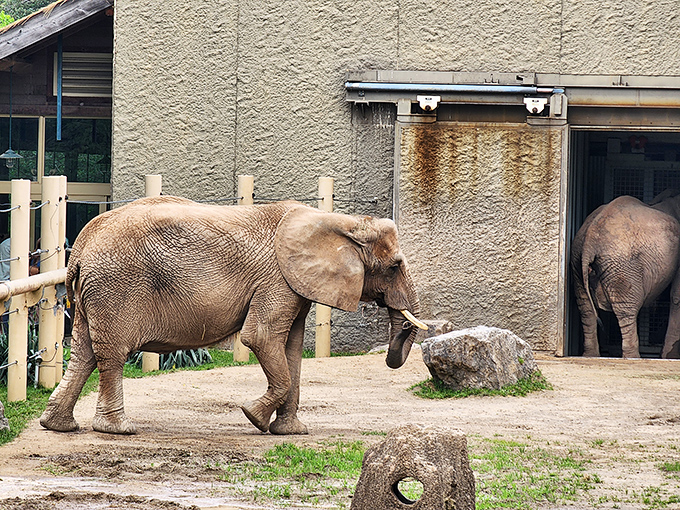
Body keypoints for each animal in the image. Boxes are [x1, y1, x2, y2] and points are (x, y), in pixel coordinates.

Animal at [39, 197, 426, 435]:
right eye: (394, 267)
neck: (339, 221)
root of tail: (80, 248)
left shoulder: (293, 284)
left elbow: (292, 348)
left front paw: (290, 432)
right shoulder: (277, 280)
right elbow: (261, 337)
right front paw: (253, 417)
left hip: (94, 293)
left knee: (84, 354)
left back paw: (58, 425)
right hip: (116, 287)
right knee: (112, 355)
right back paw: (119, 430)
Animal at [571, 191, 680, 359]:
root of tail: (590, 239)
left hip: (578, 259)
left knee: (585, 307)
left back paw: (590, 355)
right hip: (623, 265)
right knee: (626, 310)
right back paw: (633, 357)